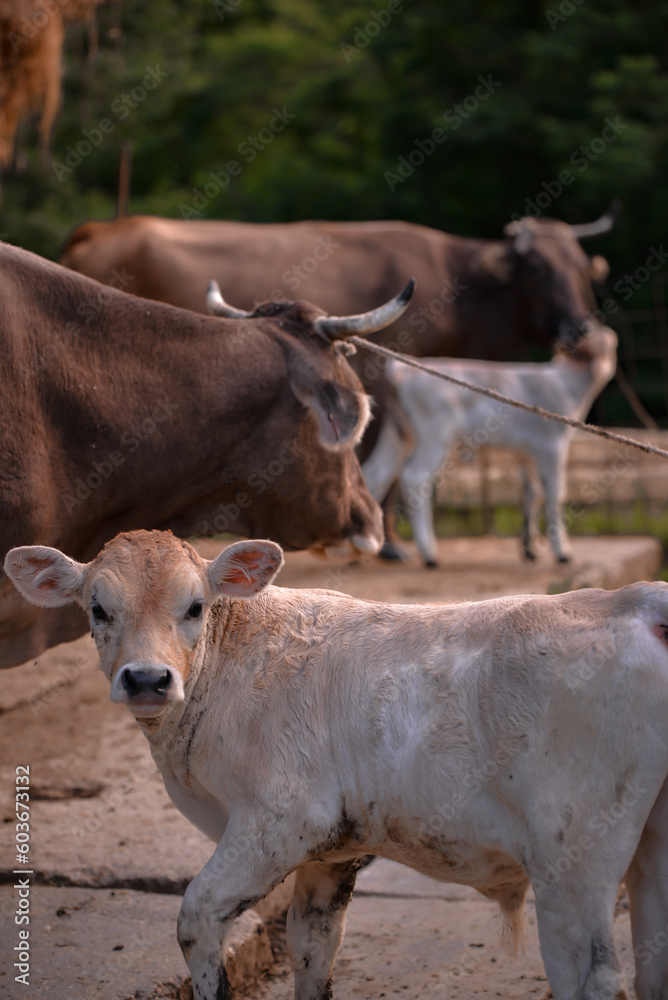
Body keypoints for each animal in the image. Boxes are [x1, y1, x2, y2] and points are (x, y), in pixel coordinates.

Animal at [6, 527, 668, 1000]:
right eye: (97, 609)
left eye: (195, 606)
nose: (147, 679)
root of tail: (635, 600)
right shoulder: (332, 851)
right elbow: (312, 948)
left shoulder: (282, 821)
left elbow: (196, 918)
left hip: (571, 860)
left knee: (597, 978)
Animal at [59, 208, 618, 555]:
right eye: (538, 269)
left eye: (581, 270)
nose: (580, 330)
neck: (457, 283)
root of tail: (102, 228)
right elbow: (380, 461)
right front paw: (393, 543)